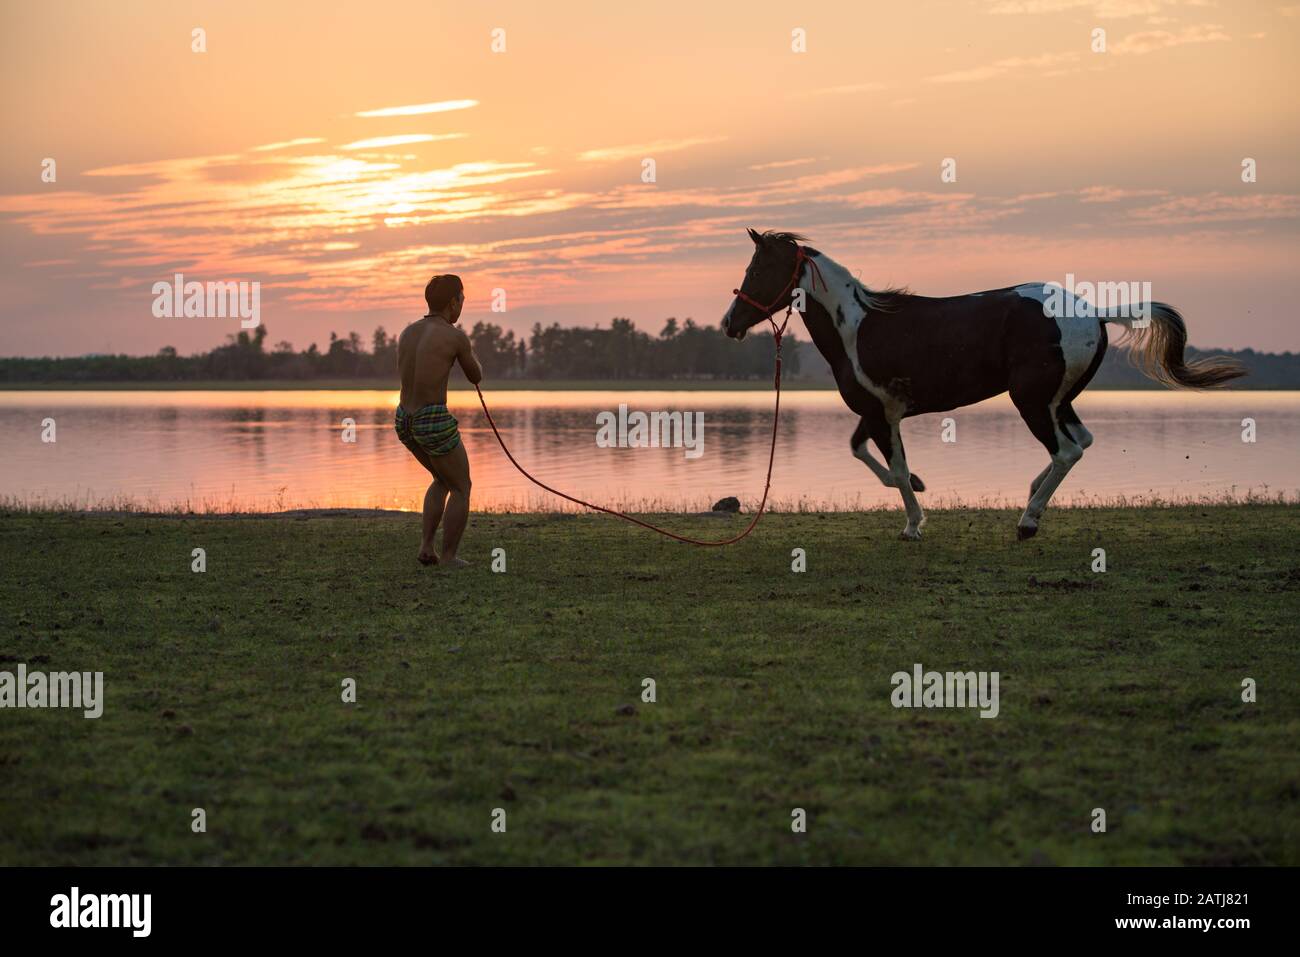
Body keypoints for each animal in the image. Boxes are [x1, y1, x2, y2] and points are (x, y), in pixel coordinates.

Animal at [722, 229, 1246, 540]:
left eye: (758, 268)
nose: (730, 323)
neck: (859, 328)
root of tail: (1094, 313)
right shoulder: (879, 413)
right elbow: (864, 454)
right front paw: (918, 491)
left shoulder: (880, 413)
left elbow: (892, 465)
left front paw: (913, 523)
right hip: (1057, 401)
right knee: (1081, 442)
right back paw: (1033, 495)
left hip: (1030, 400)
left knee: (1067, 451)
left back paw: (1028, 520)